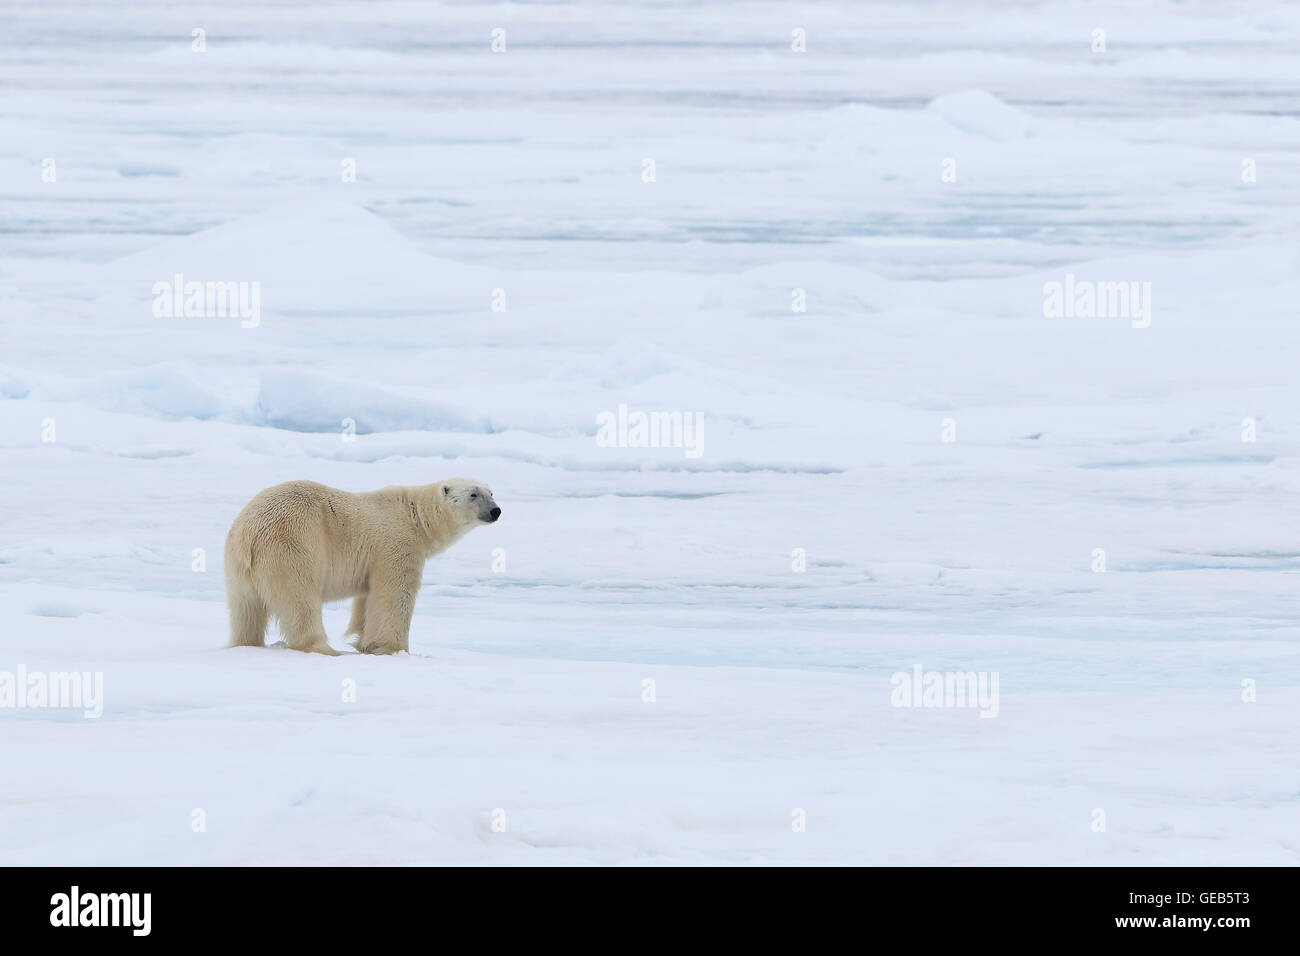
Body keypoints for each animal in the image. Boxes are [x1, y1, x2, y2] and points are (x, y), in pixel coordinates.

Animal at [224, 478, 500, 655]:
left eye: (491, 492)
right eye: (473, 494)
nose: (496, 511)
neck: (416, 516)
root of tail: (249, 533)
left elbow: (366, 599)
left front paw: (364, 642)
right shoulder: (397, 545)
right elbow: (394, 594)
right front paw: (393, 649)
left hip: (237, 568)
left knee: (245, 610)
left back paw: (246, 643)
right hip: (293, 546)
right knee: (300, 600)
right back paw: (324, 648)